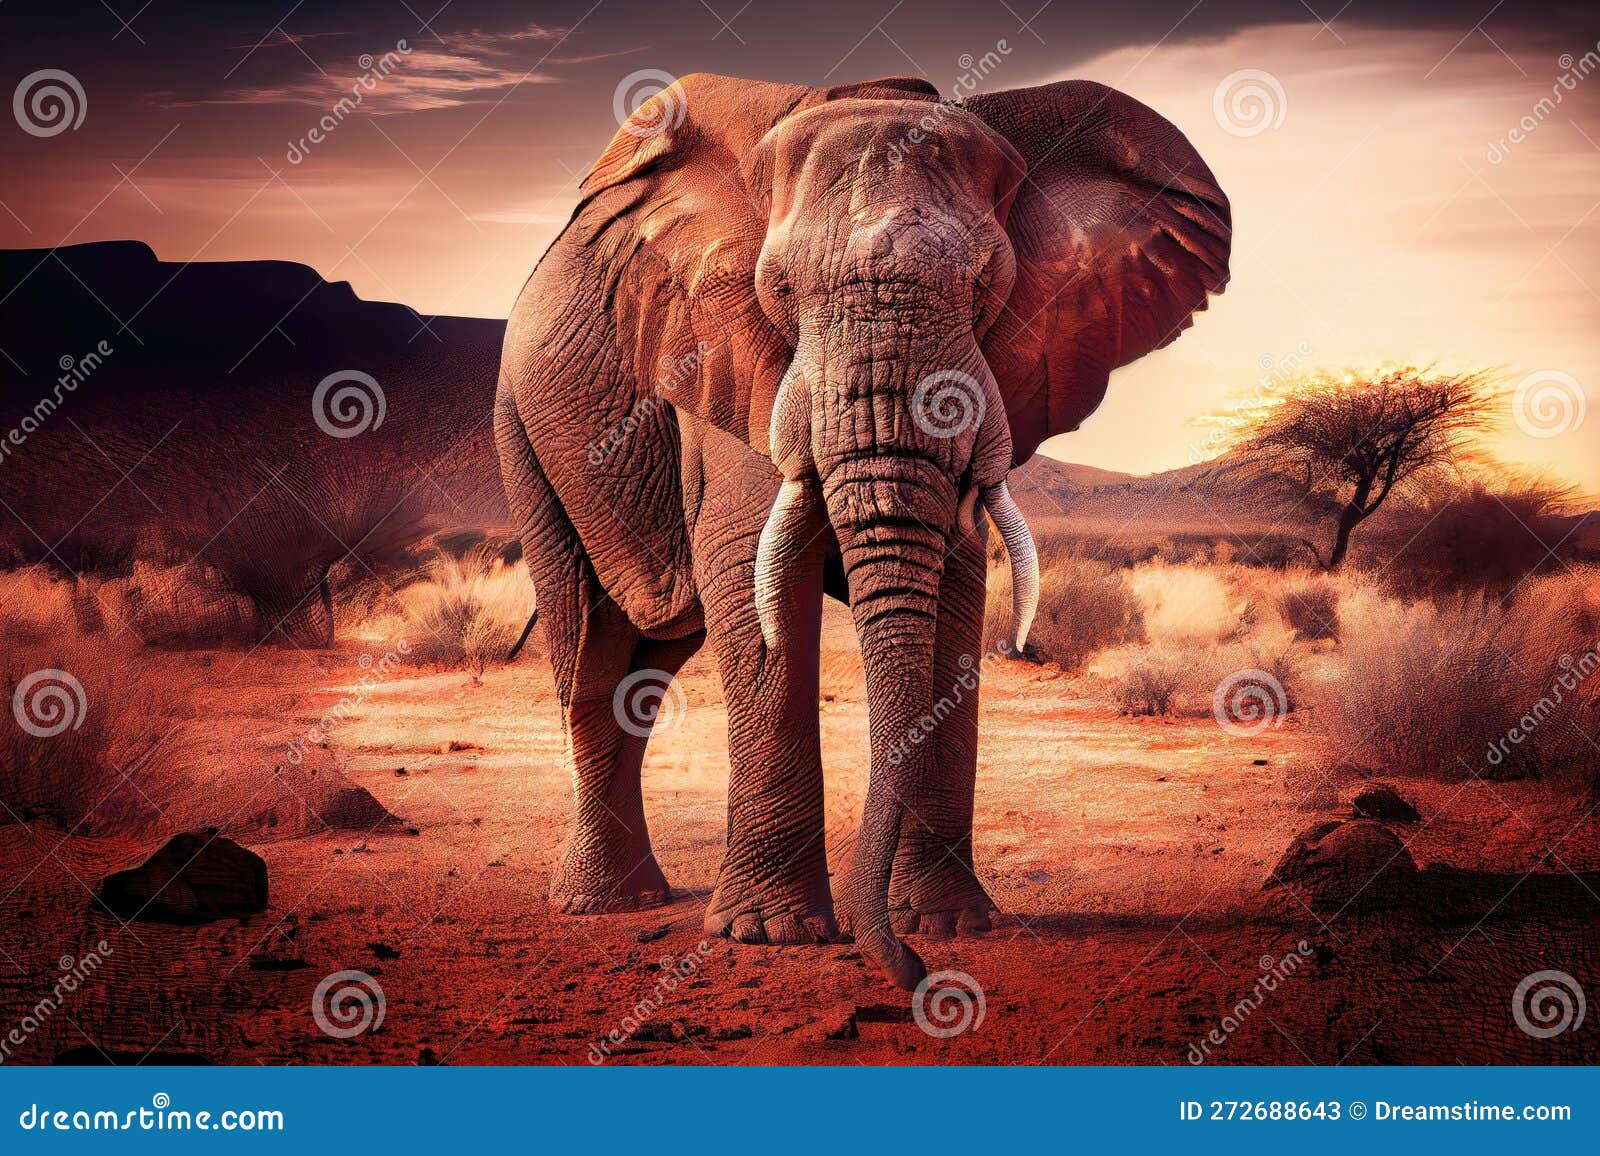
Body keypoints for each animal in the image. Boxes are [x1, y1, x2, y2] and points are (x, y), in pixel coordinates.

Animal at [496, 73, 1230, 988]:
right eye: (776, 290)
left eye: (986, 287)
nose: (910, 972)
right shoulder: (725, 352)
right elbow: (747, 571)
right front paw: (770, 935)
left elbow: (954, 582)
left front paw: (947, 925)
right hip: (522, 431)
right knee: (593, 642)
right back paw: (600, 904)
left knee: (651, 659)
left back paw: (643, 894)